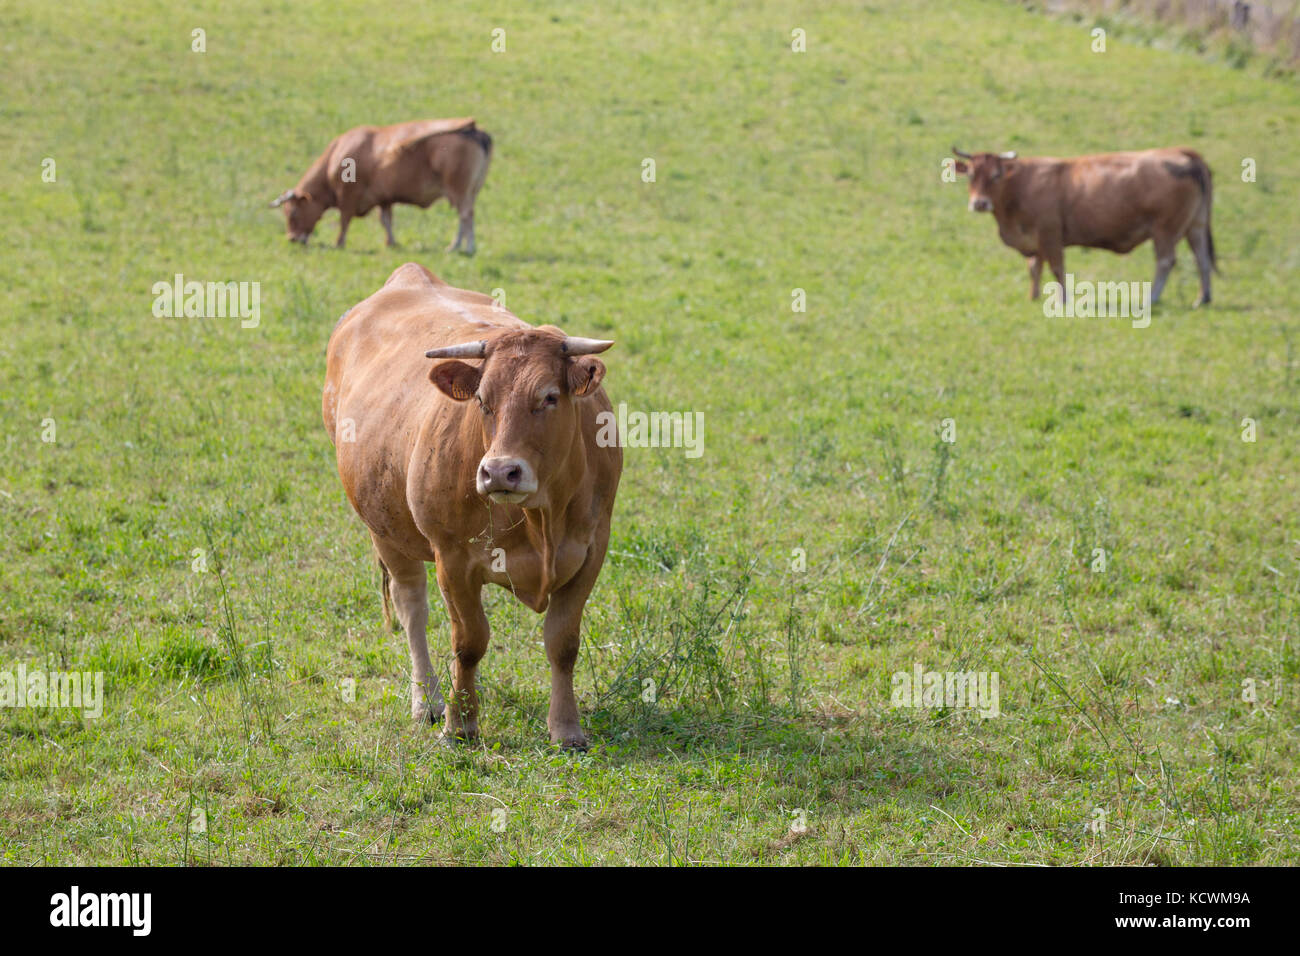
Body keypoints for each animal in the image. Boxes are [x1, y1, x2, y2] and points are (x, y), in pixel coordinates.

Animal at [272, 118, 492, 253]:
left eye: (292, 213)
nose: (291, 238)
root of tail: (474, 130)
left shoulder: (348, 196)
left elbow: (344, 220)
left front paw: (339, 243)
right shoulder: (384, 198)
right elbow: (386, 221)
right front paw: (391, 243)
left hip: (460, 190)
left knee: (465, 216)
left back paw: (463, 247)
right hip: (472, 191)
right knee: (466, 216)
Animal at [323, 263, 622, 749]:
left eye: (550, 396)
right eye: (482, 399)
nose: (500, 472)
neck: (540, 518)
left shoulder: (591, 551)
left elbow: (563, 642)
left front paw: (566, 727)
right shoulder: (453, 560)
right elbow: (469, 643)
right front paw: (460, 722)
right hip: (383, 529)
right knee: (412, 607)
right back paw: (427, 700)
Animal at [951, 147, 1217, 307]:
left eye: (996, 175)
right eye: (970, 174)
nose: (980, 203)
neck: (1020, 185)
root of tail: (1180, 152)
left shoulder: (1050, 233)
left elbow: (1056, 268)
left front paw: (1062, 300)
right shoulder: (1035, 238)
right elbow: (1034, 268)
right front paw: (1033, 297)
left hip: (1165, 229)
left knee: (1166, 261)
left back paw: (1151, 298)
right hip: (1196, 224)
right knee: (1201, 258)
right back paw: (1202, 298)